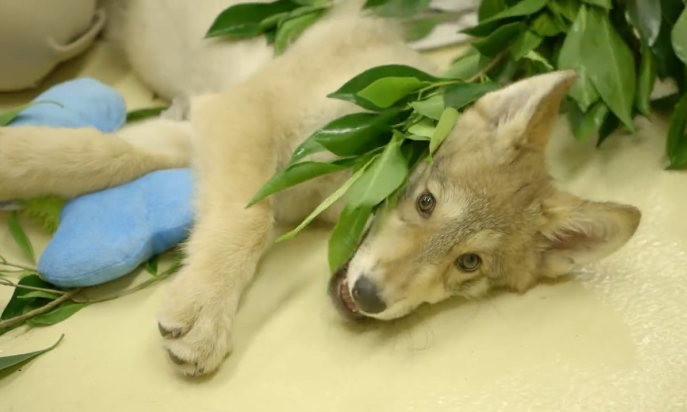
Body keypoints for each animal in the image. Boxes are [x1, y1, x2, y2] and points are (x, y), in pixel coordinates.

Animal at [0, 0, 640, 376]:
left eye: (470, 264)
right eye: (425, 202)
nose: (373, 298)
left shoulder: (202, 131)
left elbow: (93, 155)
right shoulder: (240, 117)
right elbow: (246, 221)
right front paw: (205, 313)